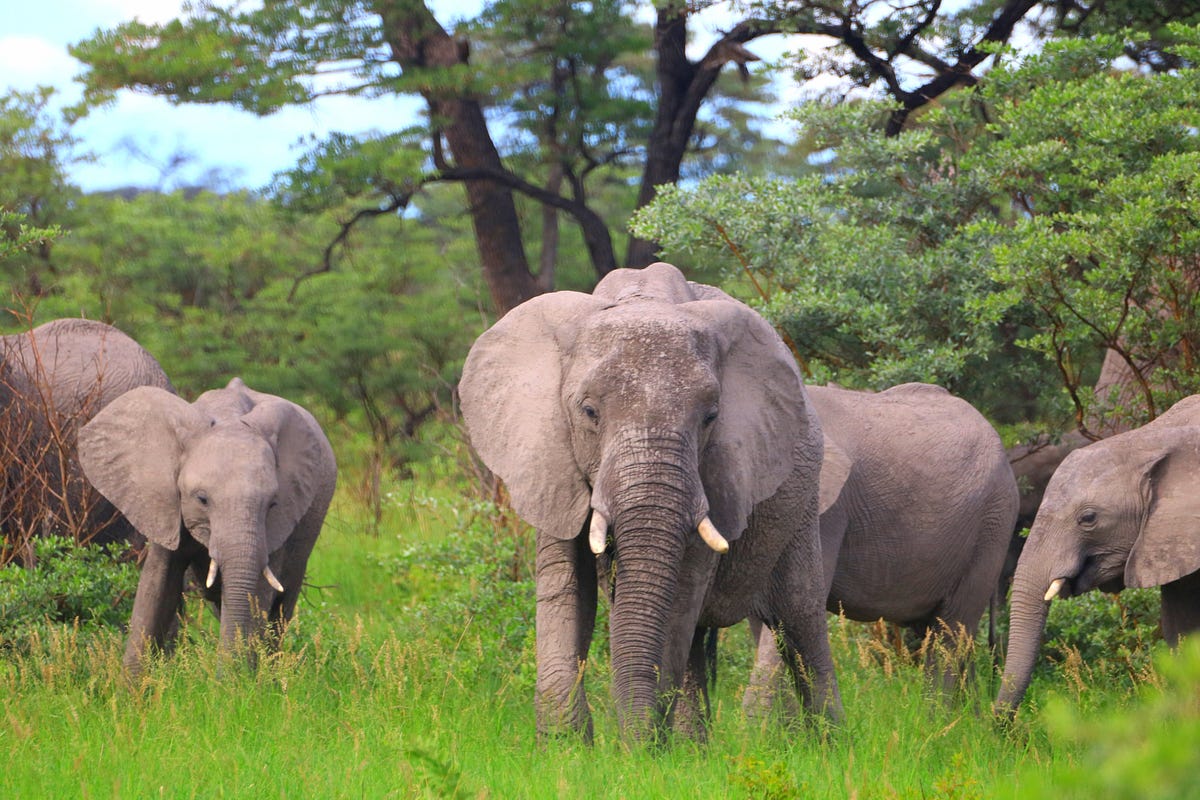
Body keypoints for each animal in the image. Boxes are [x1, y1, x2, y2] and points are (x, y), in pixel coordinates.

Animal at [76, 377, 337, 674]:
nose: (226, 678)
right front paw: (130, 686)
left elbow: (258, 593)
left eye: (273, 504)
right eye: (202, 499)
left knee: (281, 606)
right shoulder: (164, 505)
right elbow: (156, 585)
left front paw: (240, 681)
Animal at [459, 261, 846, 742]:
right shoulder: (550, 457)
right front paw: (567, 748)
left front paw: (644, 748)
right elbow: (565, 585)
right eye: (589, 412)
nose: (628, 748)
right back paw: (693, 749)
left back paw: (831, 746)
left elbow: (680, 592)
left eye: (711, 417)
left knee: (797, 613)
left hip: (804, 492)